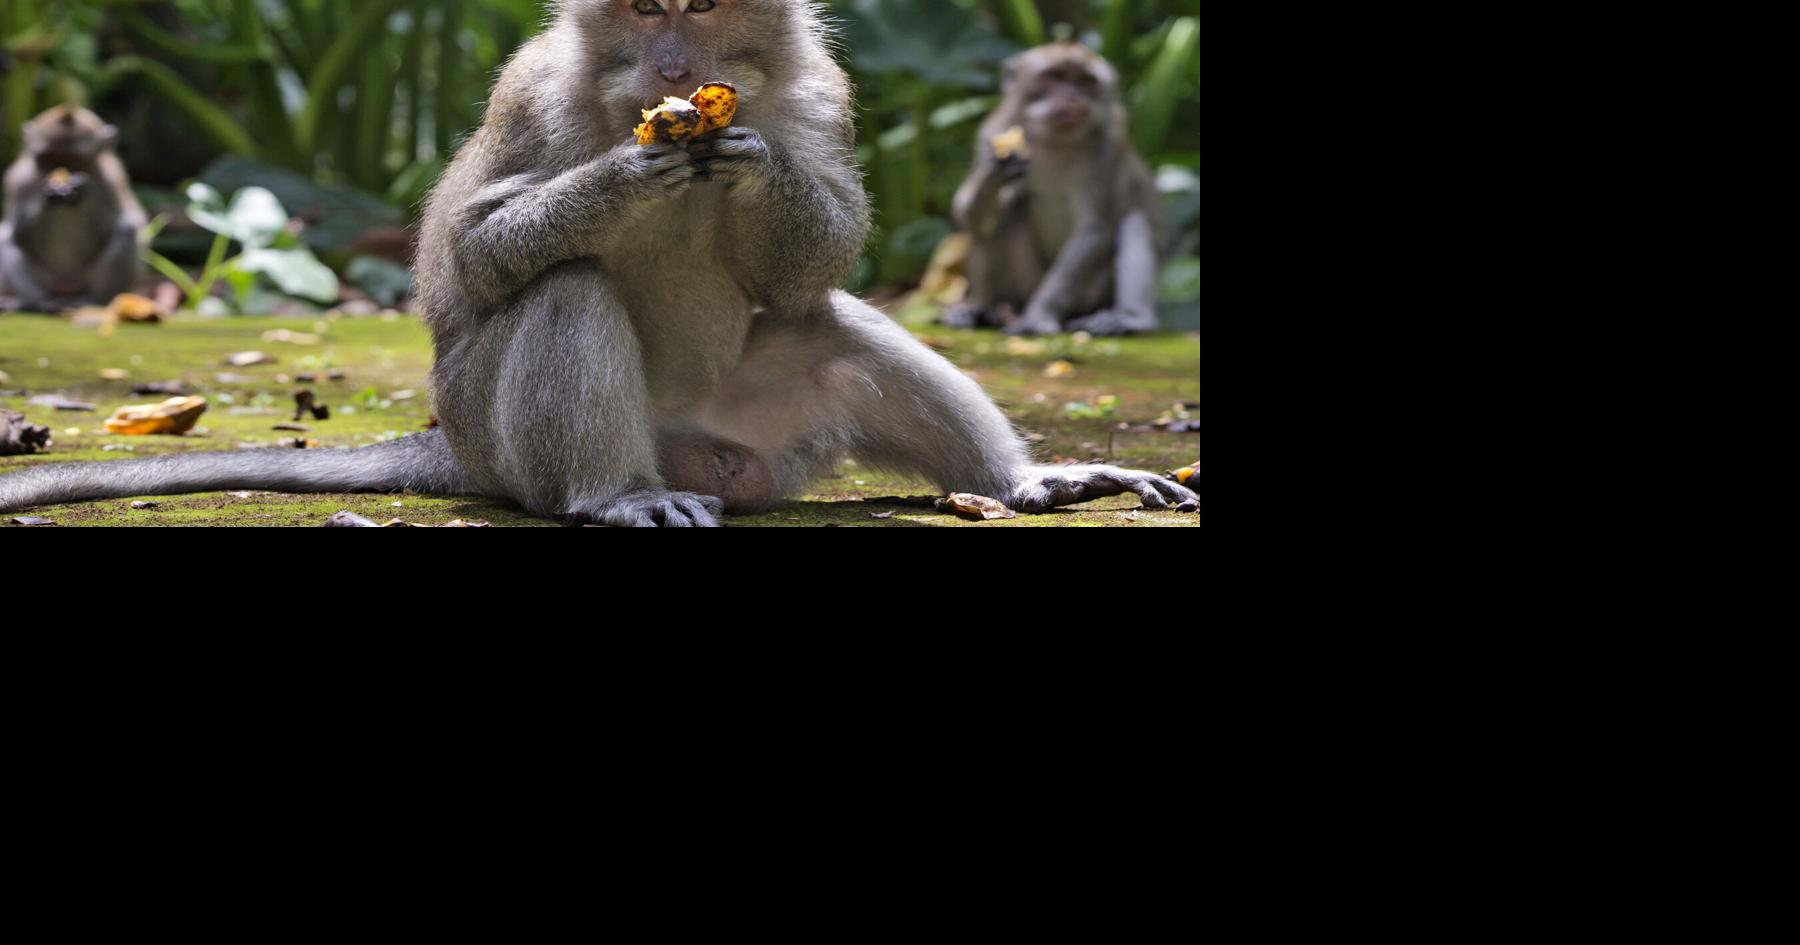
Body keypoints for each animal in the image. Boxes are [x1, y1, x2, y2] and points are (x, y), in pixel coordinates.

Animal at [0, 105, 145, 312]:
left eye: (75, 161)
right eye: (49, 159)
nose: (62, 171)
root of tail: (65, 289)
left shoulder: (112, 179)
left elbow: (127, 222)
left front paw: (78, 193)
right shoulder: (19, 179)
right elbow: (18, 233)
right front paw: (49, 196)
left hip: (84, 278)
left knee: (125, 230)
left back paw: (93, 300)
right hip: (46, 278)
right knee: (5, 237)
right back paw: (38, 302)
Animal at [941, 43, 1165, 336]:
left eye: (1084, 81)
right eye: (1055, 76)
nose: (1071, 97)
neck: (1053, 141)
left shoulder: (1107, 147)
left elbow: (1094, 230)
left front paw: (1038, 316)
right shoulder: (991, 131)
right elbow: (968, 216)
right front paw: (996, 170)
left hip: (1091, 297)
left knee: (1134, 220)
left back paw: (1131, 317)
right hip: (1024, 286)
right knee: (1002, 219)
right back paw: (980, 308)